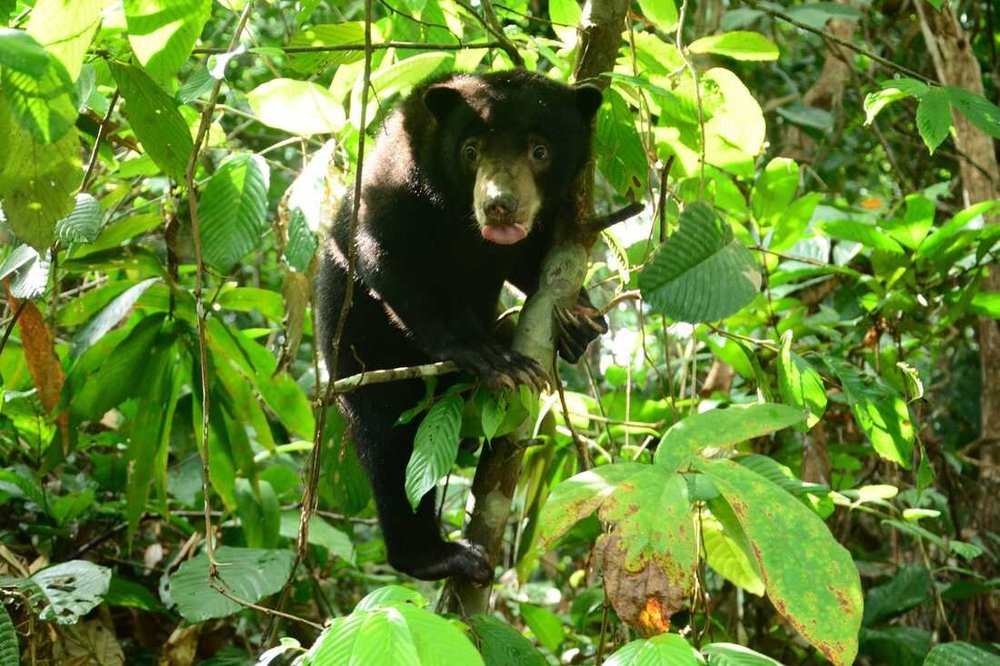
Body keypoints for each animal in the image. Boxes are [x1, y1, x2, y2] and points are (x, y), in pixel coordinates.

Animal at [316, 69, 605, 582]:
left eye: (540, 151)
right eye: (471, 151)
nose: (500, 206)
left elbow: (535, 261)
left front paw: (580, 321)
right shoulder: (395, 182)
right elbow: (384, 254)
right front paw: (489, 356)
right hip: (358, 355)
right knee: (391, 446)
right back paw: (434, 555)